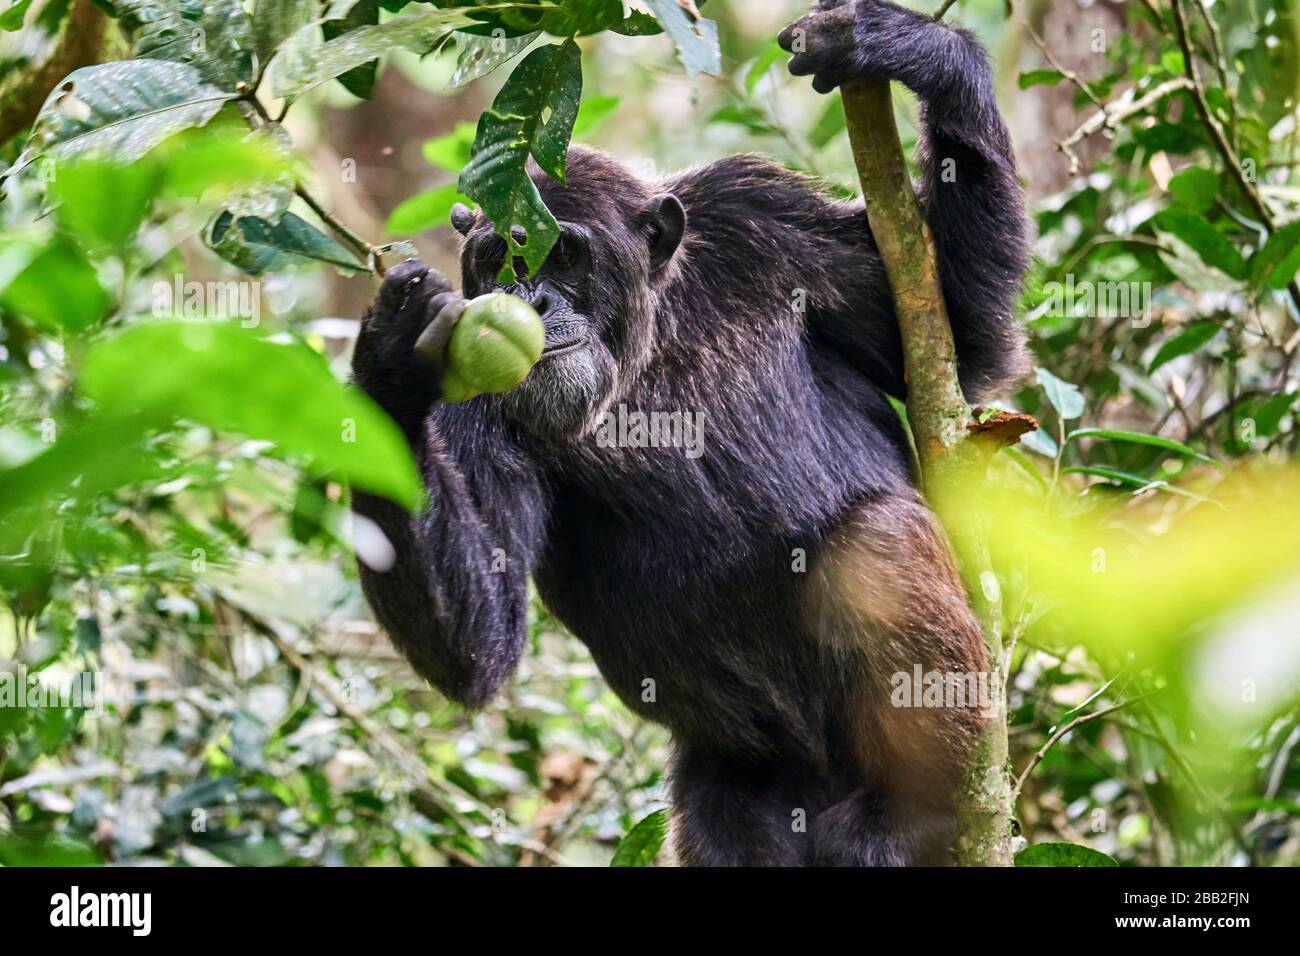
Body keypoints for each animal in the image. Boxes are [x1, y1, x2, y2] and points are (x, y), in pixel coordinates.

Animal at [349, 0, 1028, 865]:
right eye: (499, 260)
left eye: (561, 255)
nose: (529, 301)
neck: (645, 345)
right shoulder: (468, 400)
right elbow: (479, 638)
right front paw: (390, 362)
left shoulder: (761, 213)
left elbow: (960, 340)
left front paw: (907, 45)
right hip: (734, 793)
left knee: (877, 541)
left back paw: (915, 811)